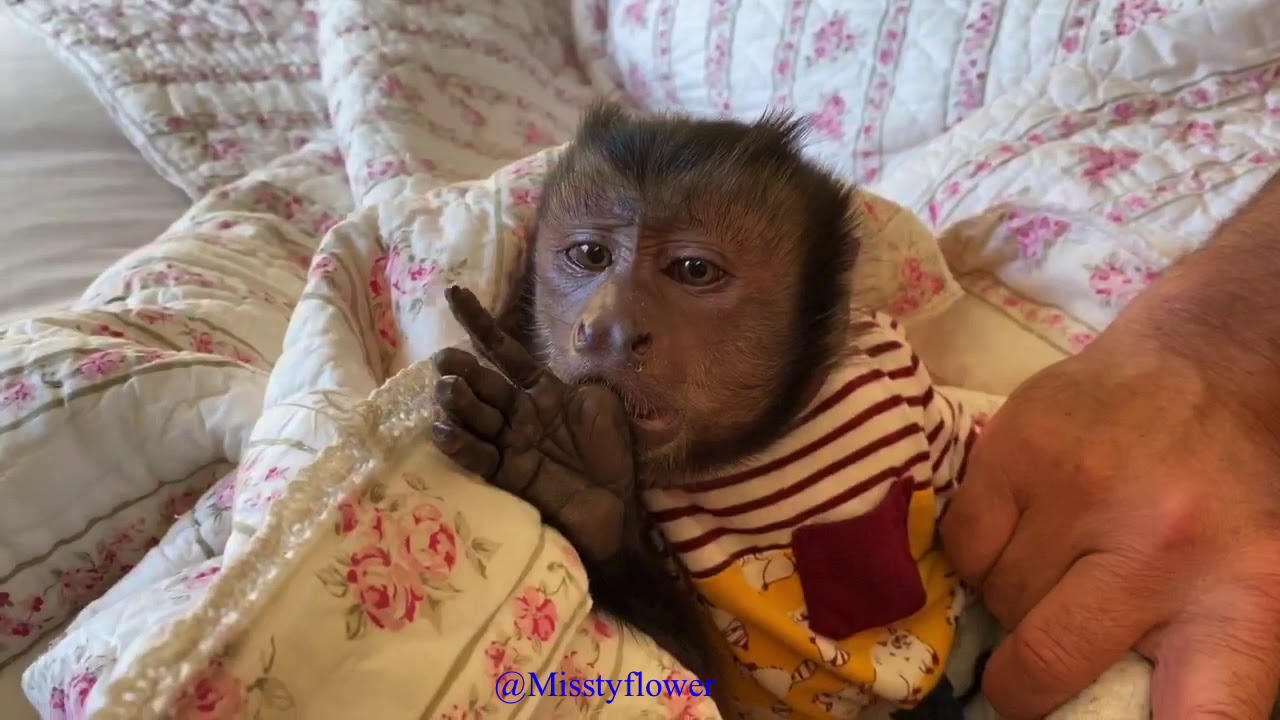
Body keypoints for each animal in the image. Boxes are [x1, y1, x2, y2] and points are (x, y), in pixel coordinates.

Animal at [430, 102, 978, 720]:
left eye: (694, 270)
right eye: (590, 256)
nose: (608, 327)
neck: (763, 440)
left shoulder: (902, 363)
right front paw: (568, 476)